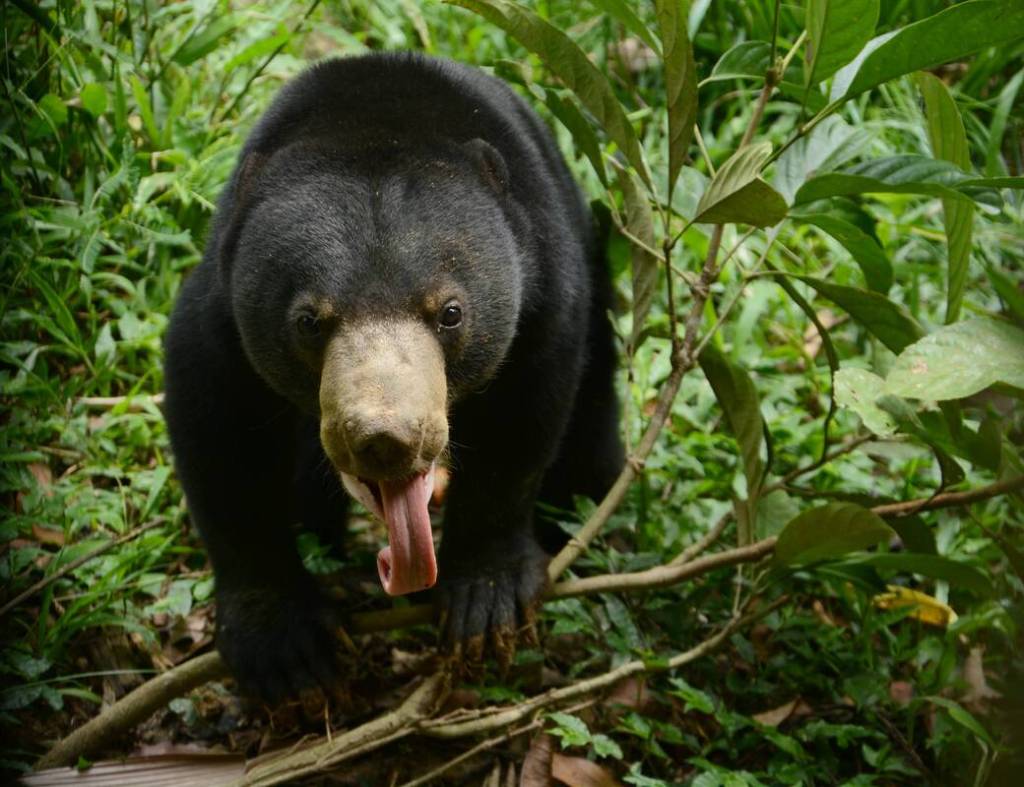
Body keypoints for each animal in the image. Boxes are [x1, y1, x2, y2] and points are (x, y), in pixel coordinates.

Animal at [164, 52, 623, 701]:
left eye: (450, 313)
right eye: (309, 321)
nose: (385, 440)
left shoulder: (544, 293)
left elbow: (521, 422)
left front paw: (486, 601)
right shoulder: (221, 309)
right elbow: (219, 428)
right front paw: (285, 648)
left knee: (590, 441)